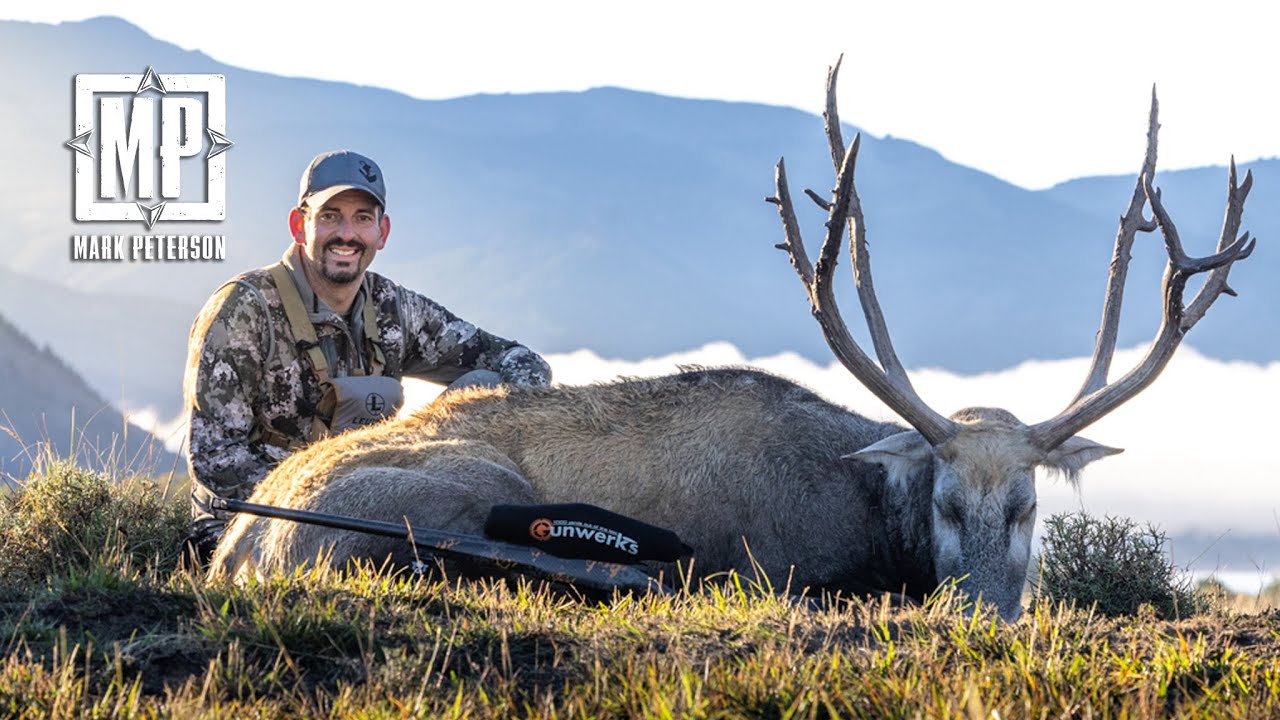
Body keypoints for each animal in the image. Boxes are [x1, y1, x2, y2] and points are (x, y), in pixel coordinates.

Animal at [207, 59, 1255, 622]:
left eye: (1030, 507)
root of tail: (239, 547)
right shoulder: (787, 567)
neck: (869, 508)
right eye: (947, 504)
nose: (986, 618)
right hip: (464, 494)